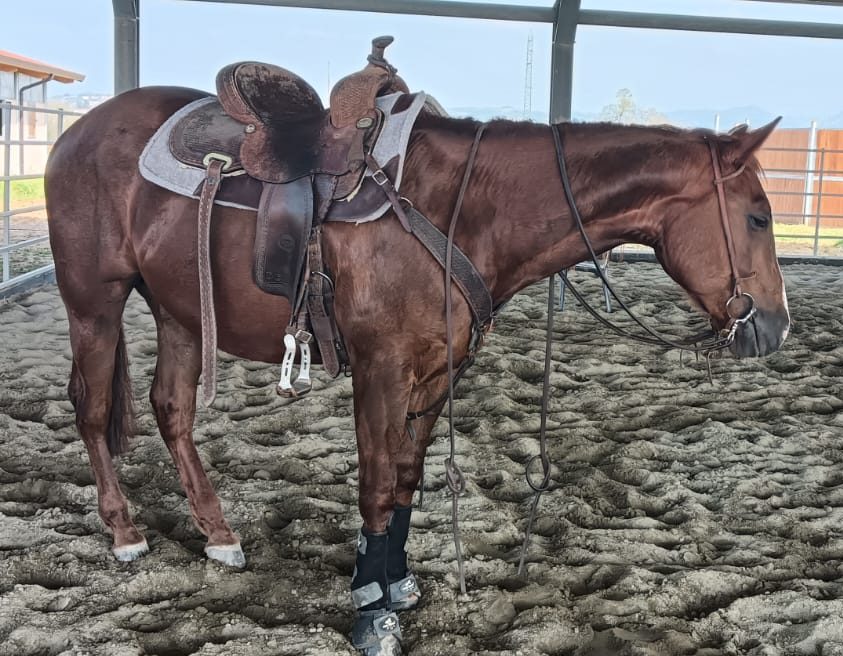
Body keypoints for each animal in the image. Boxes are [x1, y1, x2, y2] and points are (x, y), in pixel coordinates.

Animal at [45, 85, 789, 655]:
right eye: (757, 216)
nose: (776, 328)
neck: (461, 208)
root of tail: (78, 131)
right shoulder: (382, 371)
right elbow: (377, 488)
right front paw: (371, 613)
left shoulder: (436, 376)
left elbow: (405, 481)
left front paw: (394, 583)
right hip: (94, 304)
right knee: (90, 408)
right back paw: (124, 533)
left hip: (179, 311)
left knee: (171, 408)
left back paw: (219, 535)